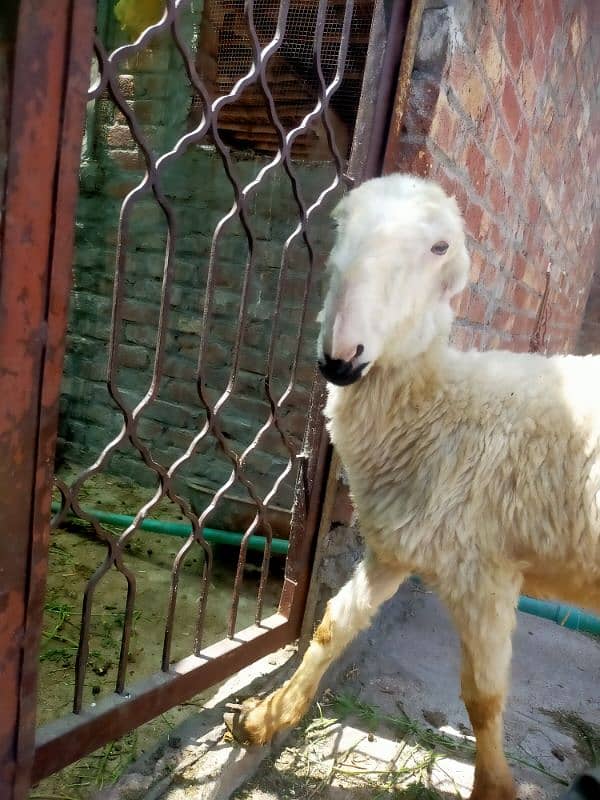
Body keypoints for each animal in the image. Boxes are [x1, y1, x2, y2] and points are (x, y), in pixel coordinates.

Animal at [225, 173, 600, 800]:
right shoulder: (394, 546)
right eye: (340, 222)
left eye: (439, 247)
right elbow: (333, 625)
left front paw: (494, 787)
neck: (442, 407)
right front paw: (268, 716)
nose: (341, 356)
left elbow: (482, 699)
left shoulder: (485, 573)